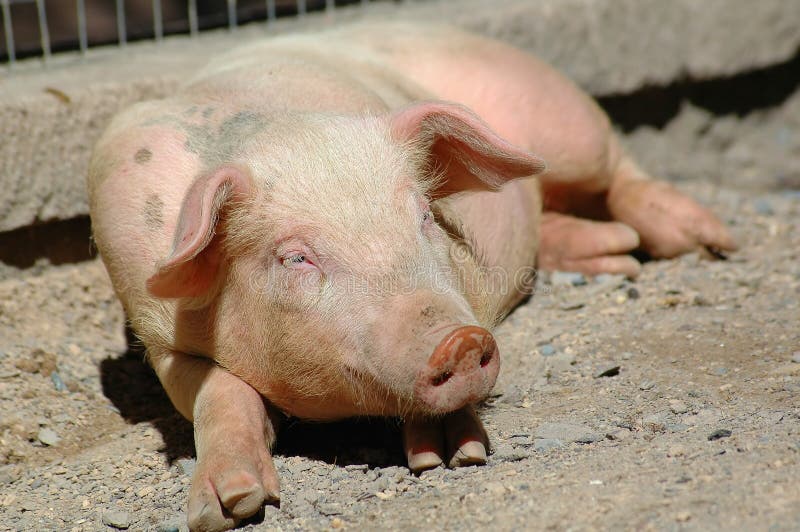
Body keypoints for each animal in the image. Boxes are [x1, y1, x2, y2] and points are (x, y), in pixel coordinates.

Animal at [87, 23, 736, 531]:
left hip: (565, 121)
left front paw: (454, 458)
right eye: (296, 258)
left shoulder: (468, 280)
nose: (462, 340)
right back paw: (618, 253)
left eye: (423, 215)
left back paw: (708, 241)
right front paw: (231, 508)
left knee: (617, 167)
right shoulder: (157, 331)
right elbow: (218, 392)